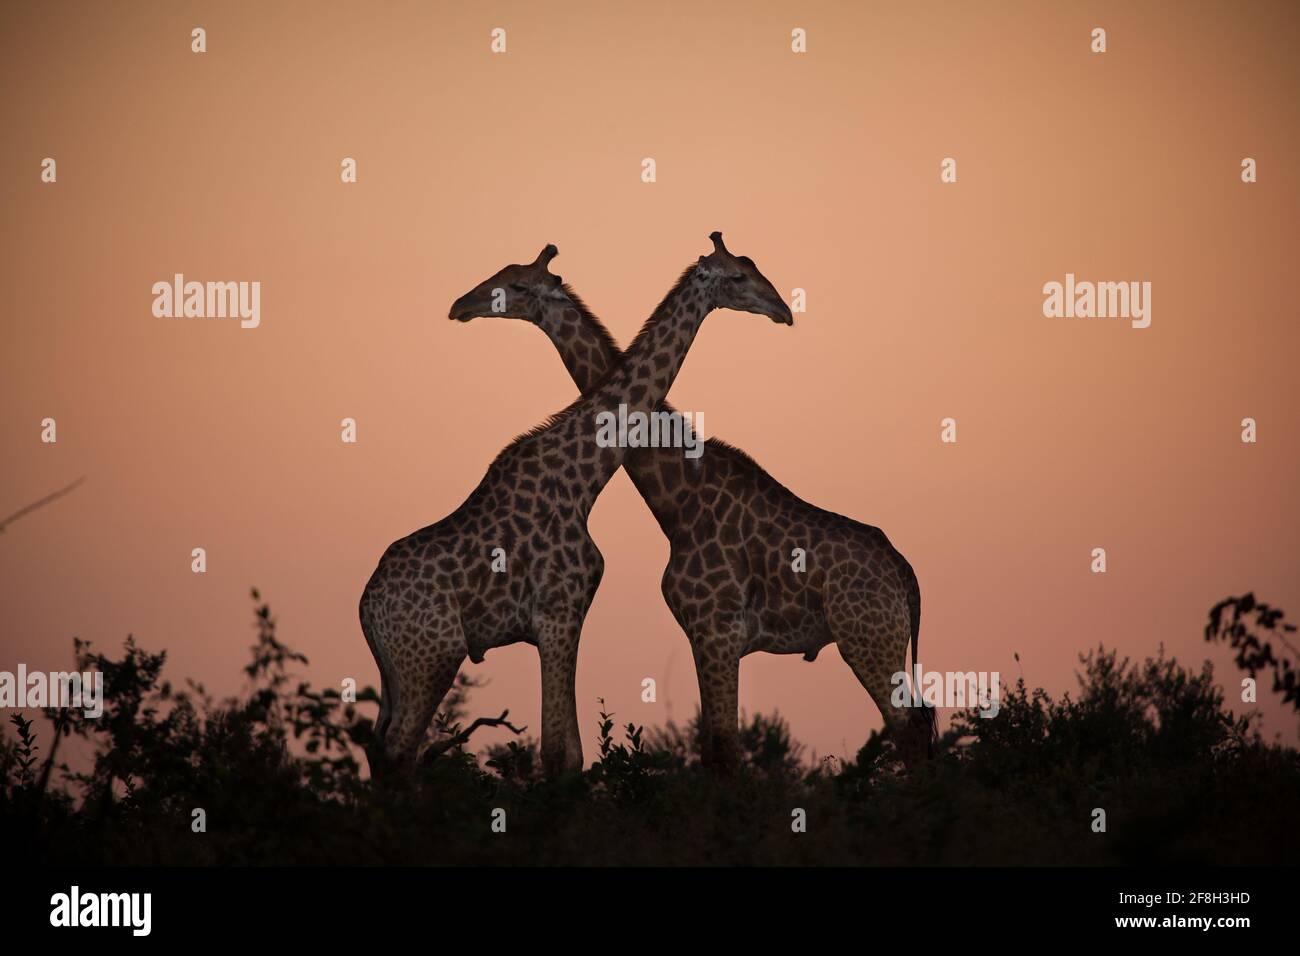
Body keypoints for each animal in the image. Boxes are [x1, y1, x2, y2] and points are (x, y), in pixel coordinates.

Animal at [361, 232, 792, 778]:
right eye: (738, 275)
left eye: (516, 282)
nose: (783, 309)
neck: (583, 477)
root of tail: (367, 609)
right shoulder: (556, 610)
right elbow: (558, 754)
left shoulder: (568, 612)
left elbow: (570, 755)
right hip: (431, 656)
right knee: (398, 752)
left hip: (396, 671)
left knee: (381, 751)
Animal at [450, 246, 936, 772]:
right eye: (500, 276)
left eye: (516, 286)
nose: (461, 304)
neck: (679, 502)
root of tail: (906, 578)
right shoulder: (702, 635)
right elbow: (713, 750)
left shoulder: (718, 631)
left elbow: (725, 751)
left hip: (868, 639)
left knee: (910, 730)